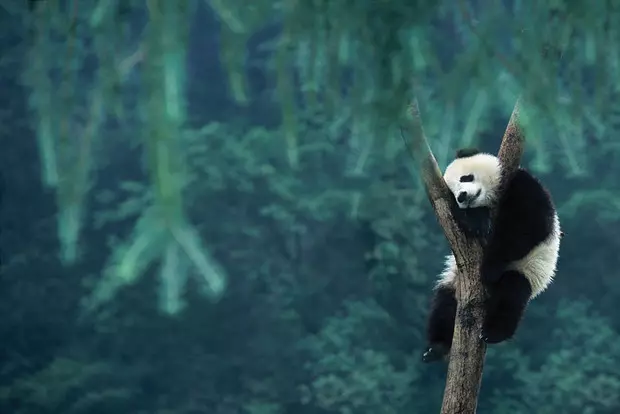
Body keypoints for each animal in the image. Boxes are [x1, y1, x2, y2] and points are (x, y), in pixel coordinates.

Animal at [422, 148, 560, 362]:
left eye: (465, 177)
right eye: (453, 194)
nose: (462, 196)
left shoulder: (522, 186)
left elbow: (528, 228)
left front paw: (489, 268)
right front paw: (478, 220)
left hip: (528, 270)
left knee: (511, 293)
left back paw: (493, 332)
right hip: (454, 281)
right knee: (445, 304)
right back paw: (438, 346)